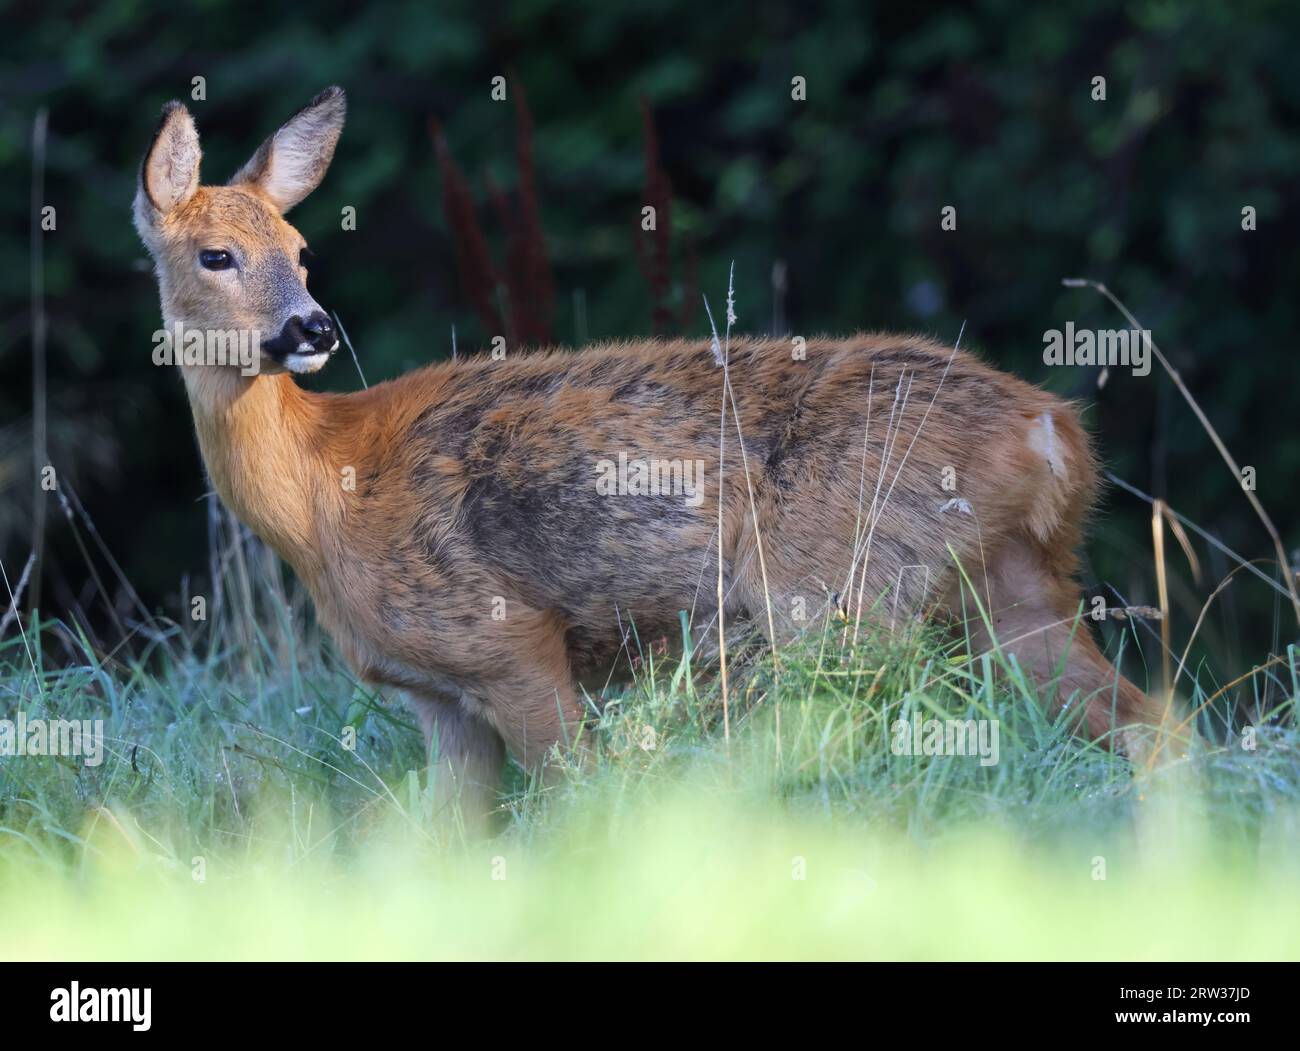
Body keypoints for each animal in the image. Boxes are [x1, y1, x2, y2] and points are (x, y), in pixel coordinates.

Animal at [134, 87, 1170, 826]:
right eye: (217, 254)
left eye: (303, 246)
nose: (312, 328)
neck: (326, 488)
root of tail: (1054, 432)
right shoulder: (438, 697)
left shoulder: (510, 640)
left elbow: (579, 799)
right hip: (1016, 587)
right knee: (1157, 726)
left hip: (837, 594)